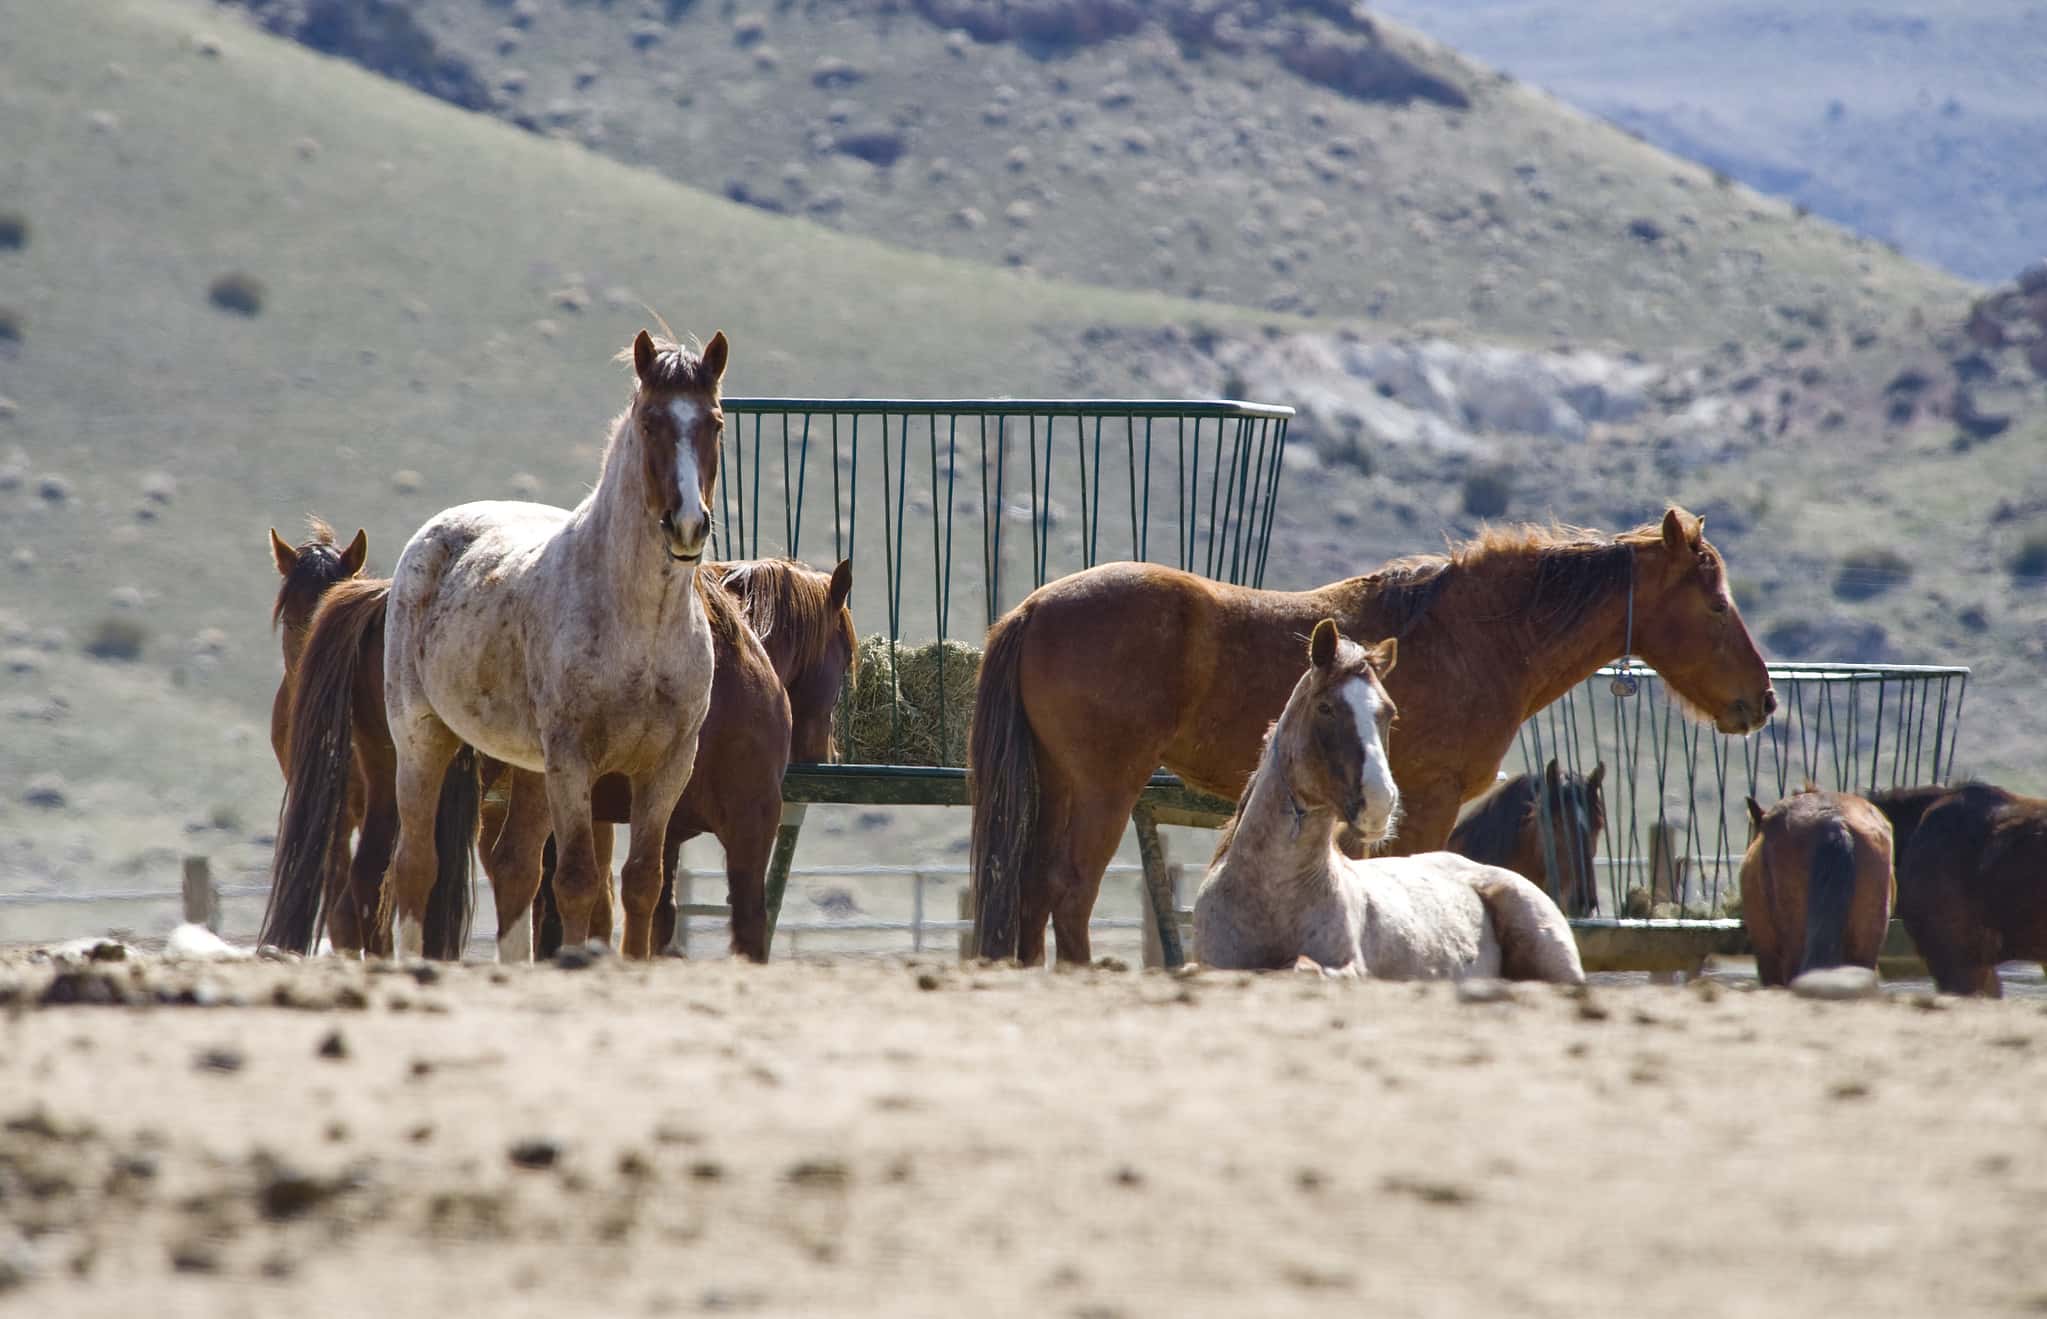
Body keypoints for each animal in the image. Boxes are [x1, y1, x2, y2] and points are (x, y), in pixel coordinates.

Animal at [382, 329, 728, 960]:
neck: (641, 629)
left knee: (515, 866)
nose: (688, 525)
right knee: (415, 866)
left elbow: (641, 883)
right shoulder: (572, 761)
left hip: (530, 769)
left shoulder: (668, 766)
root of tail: (434, 534)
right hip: (422, 740)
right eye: (649, 421)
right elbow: (577, 881)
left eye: (714, 422)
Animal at [502, 556, 857, 963]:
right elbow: (749, 924)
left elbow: (657, 911)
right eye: (846, 655)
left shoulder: (665, 825)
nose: (827, 753)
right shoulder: (753, 818)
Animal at [1191, 619, 1585, 983]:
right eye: (1325, 708)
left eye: (1389, 713)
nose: (1380, 803)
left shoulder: (1350, 969)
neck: (1271, 896)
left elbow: (1300, 966)